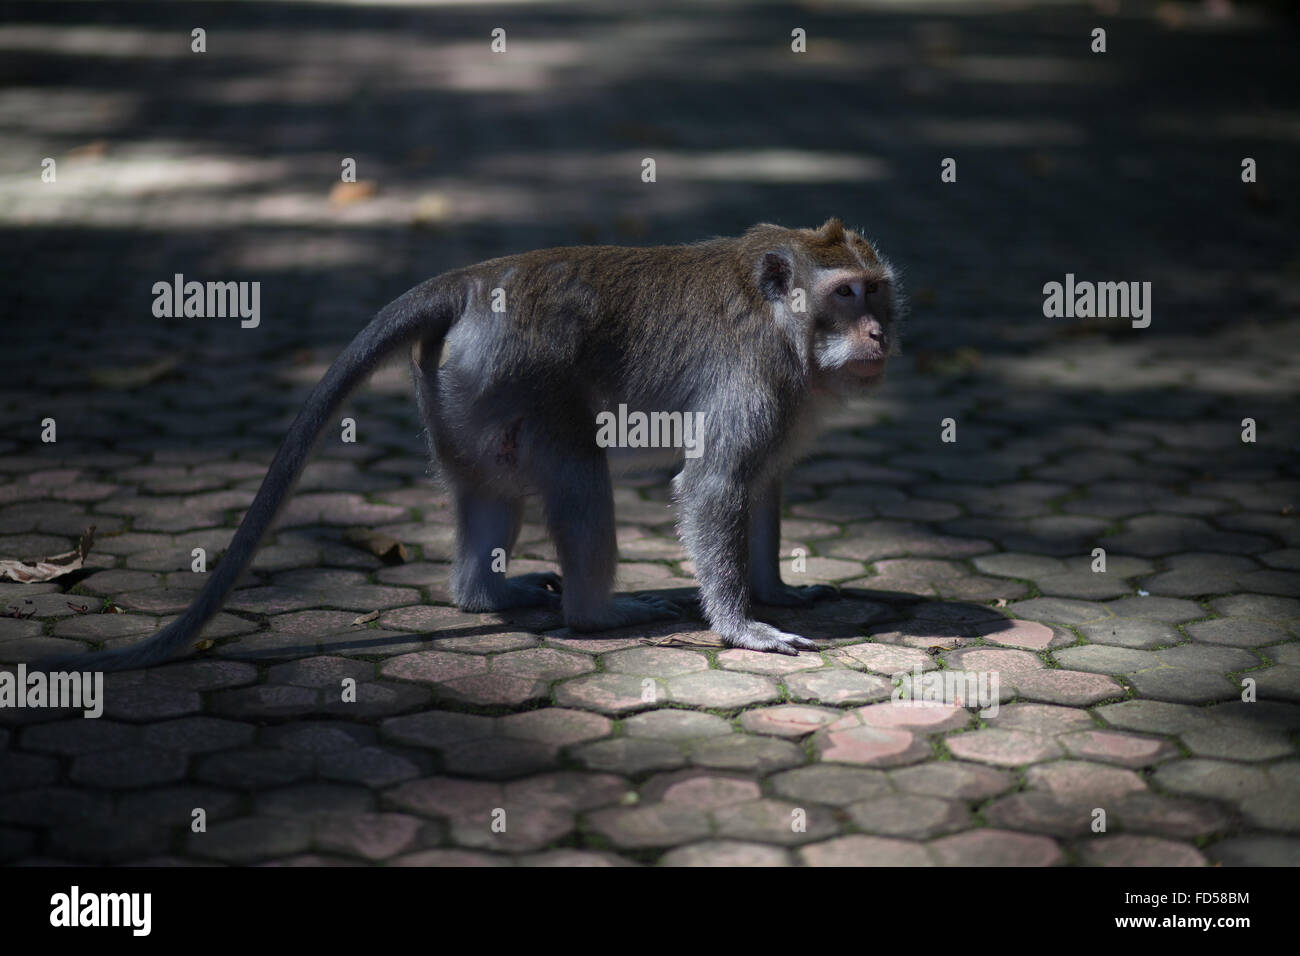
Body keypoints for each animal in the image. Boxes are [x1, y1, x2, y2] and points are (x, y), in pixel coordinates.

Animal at [40, 218, 900, 671]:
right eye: (844, 294)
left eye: (878, 290)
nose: (879, 334)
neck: (786, 325)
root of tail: (475, 279)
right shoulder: (757, 377)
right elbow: (714, 486)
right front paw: (742, 625)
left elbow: (760, 488)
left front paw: (776, 589)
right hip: (516, 375)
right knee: (580, 477)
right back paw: (599, 611)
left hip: (461, 396)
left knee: (494, 493)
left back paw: (488, 593)